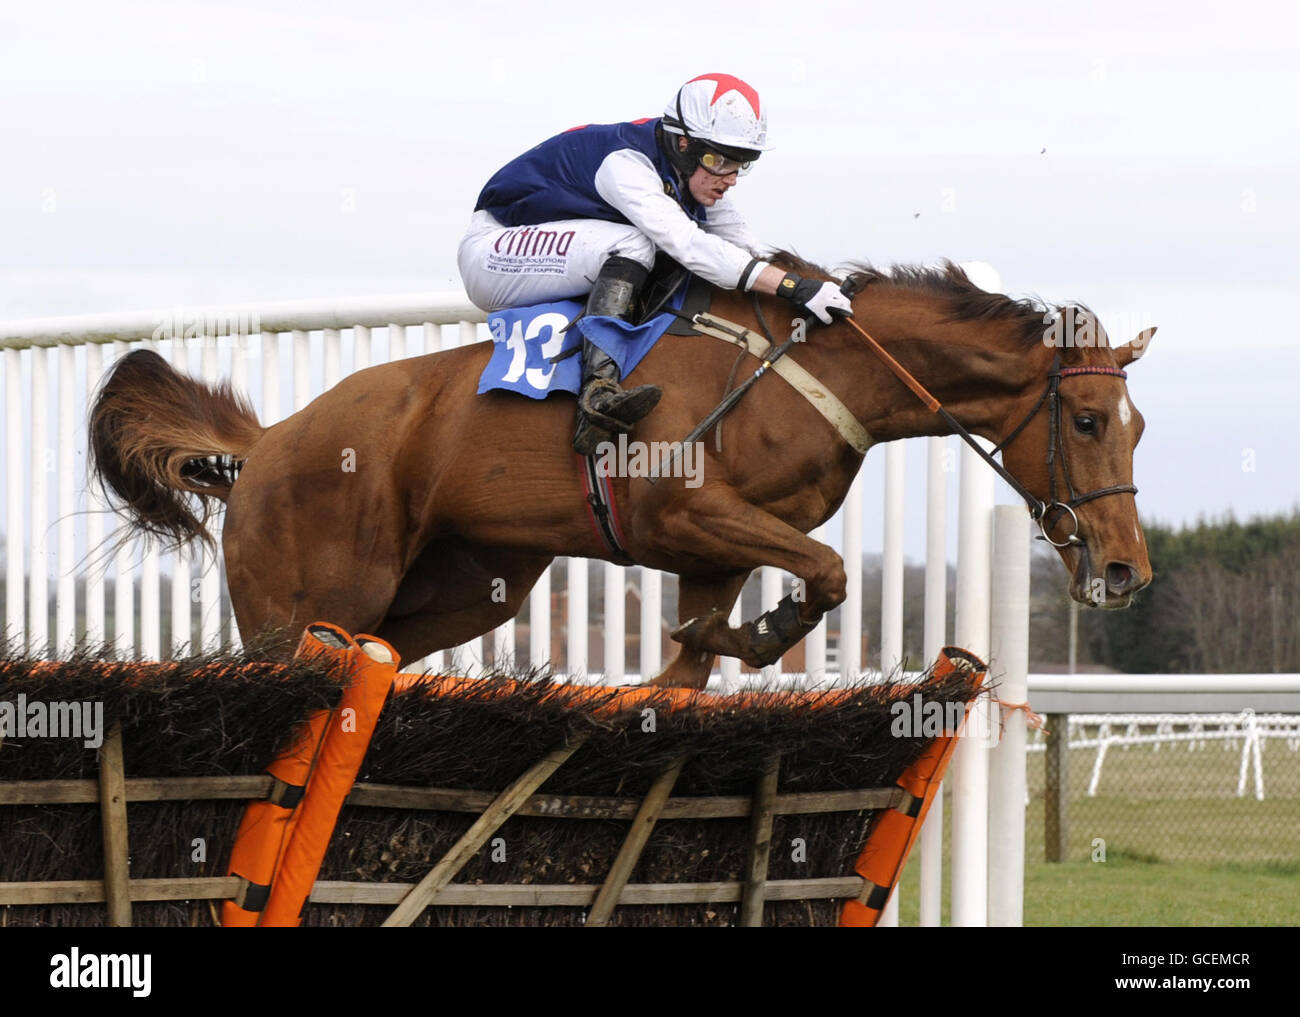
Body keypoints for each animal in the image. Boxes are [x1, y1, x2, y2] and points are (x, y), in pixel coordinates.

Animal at [88, 254, 1156, 688]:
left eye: (1139, 428)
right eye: (1088, 420)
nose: (1124, 571)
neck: (808, 366)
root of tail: (268, 441)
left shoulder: (716, 551)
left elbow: (693, 658)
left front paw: (736, 636)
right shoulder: (677, 517)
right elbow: (826, 571)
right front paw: (766, 633)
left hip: (455, 592)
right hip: (301, 608)